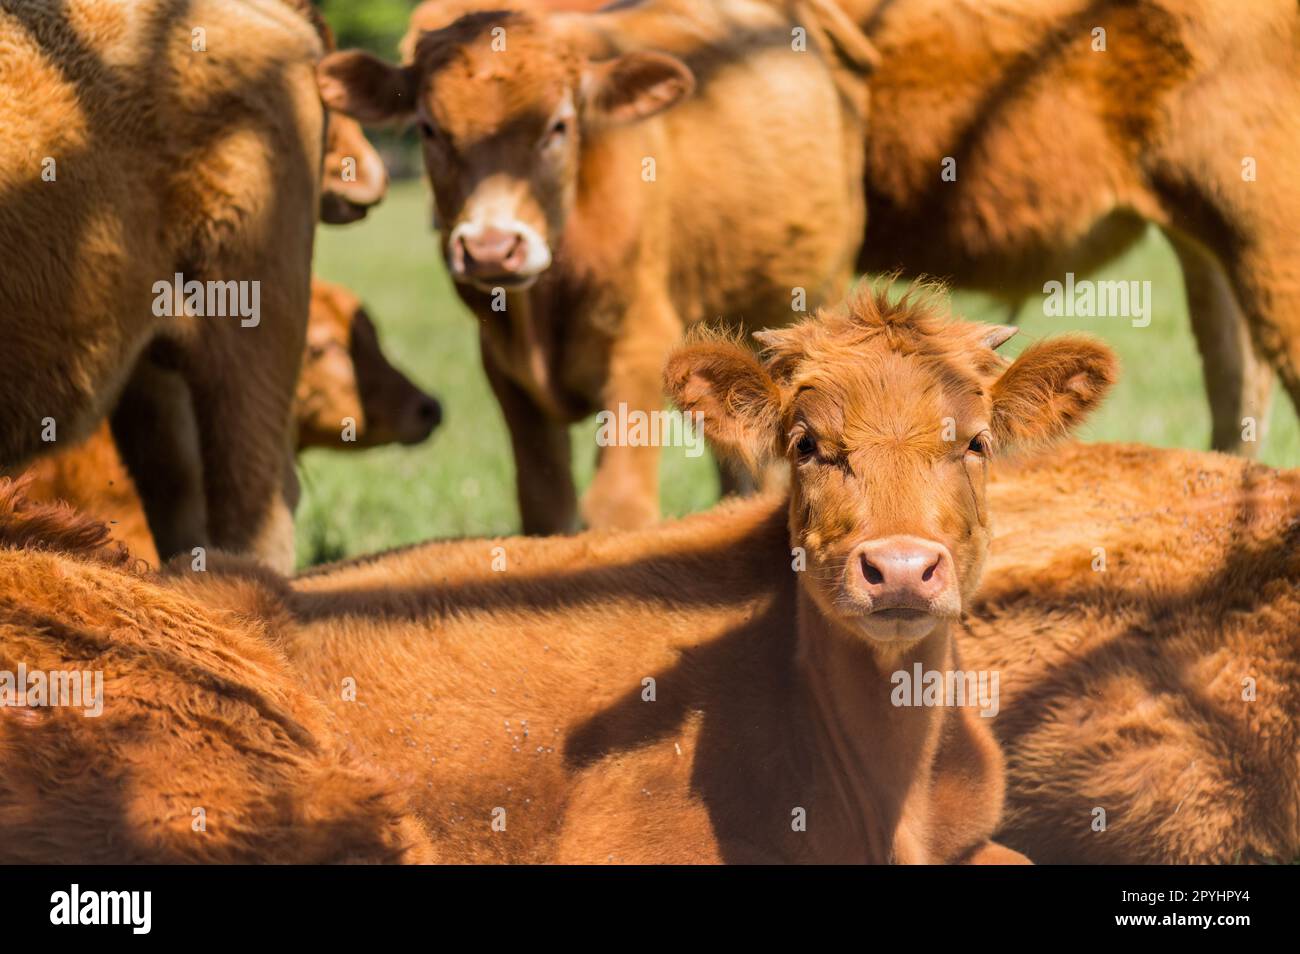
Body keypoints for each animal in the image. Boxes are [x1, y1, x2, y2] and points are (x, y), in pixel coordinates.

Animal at [317, 0, 876, 534]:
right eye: (430, 129)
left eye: (559, 126)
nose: (491, 247)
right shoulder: (502, 365)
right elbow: (545, 503)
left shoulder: (640, 345)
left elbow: (617, 504)